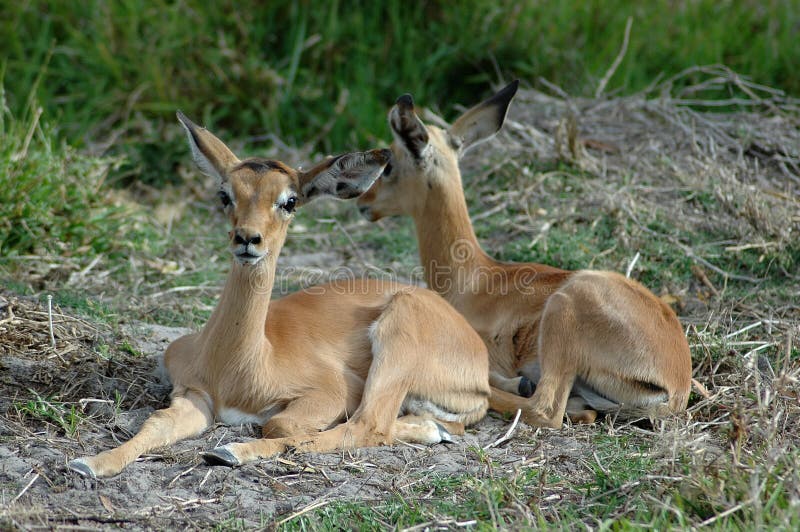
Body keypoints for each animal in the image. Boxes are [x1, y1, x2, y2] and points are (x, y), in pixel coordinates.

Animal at [68, 112, 489, 478]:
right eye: (225, 195)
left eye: (290, 201)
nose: (247, 238)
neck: (242, 365)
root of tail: (477, 359)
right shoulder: (194, 395)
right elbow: (156, 423)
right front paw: (91, 463)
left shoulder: (331, 390)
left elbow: (280, 424)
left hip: (394, 345)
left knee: (369, 425)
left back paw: (230, 452)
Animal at [356, 81, 692, 428]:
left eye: (389, 166)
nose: (364, 202)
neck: (471, 277)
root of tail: (676, 383)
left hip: (562, 313)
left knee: (543, 408)